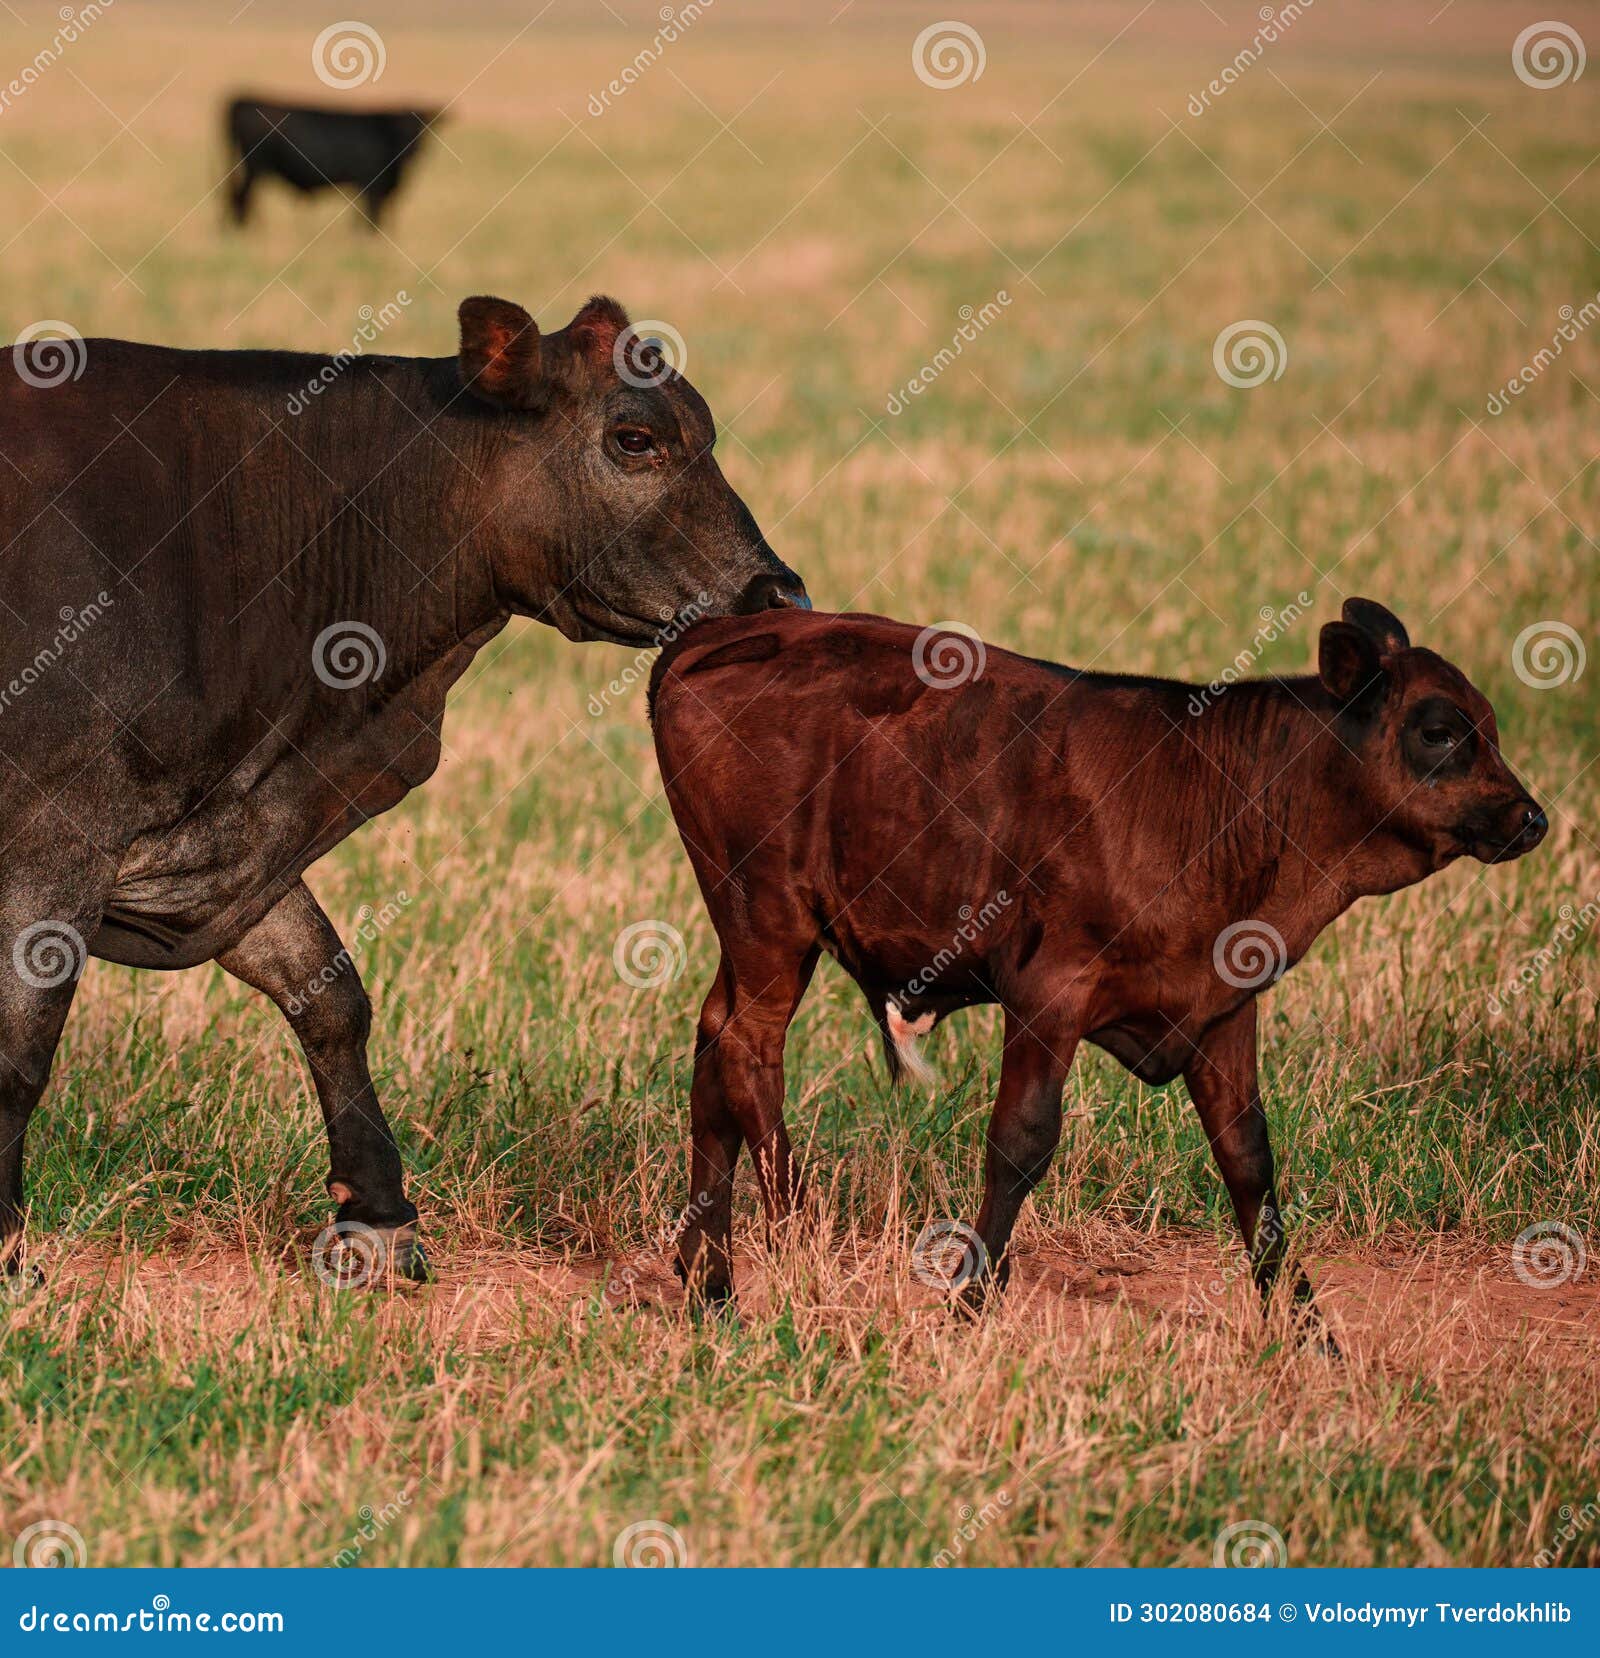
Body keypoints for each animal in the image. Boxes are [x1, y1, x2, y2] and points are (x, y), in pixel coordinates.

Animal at [0, 293, 807, 1287]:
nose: (779, 593)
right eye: (635, 439)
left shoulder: (224, 843)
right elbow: (21, 1051)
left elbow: (329, 994)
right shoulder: (57, 836)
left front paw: (378, 1219)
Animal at [224, 96, 441, 230]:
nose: (415, 150)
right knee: (242, 198)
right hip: (253, 168)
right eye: (402, 130)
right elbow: (370, 222)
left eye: (423, 129)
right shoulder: (372, 186)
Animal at [650, 600, 1547, 1343]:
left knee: (712, 1045)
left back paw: (711, 1282)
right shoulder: (1049, 994)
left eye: (1493, 725)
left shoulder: (1222, 1009)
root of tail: (719, 632)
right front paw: (969, 1302)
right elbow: (1020, 1142)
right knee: (748, 1052)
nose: (1530, 817)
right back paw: (796, 1238)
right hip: (769, 918)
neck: (1221, 800)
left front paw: (1307, 1330)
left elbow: (1249, 1159)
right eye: (1438, 730)